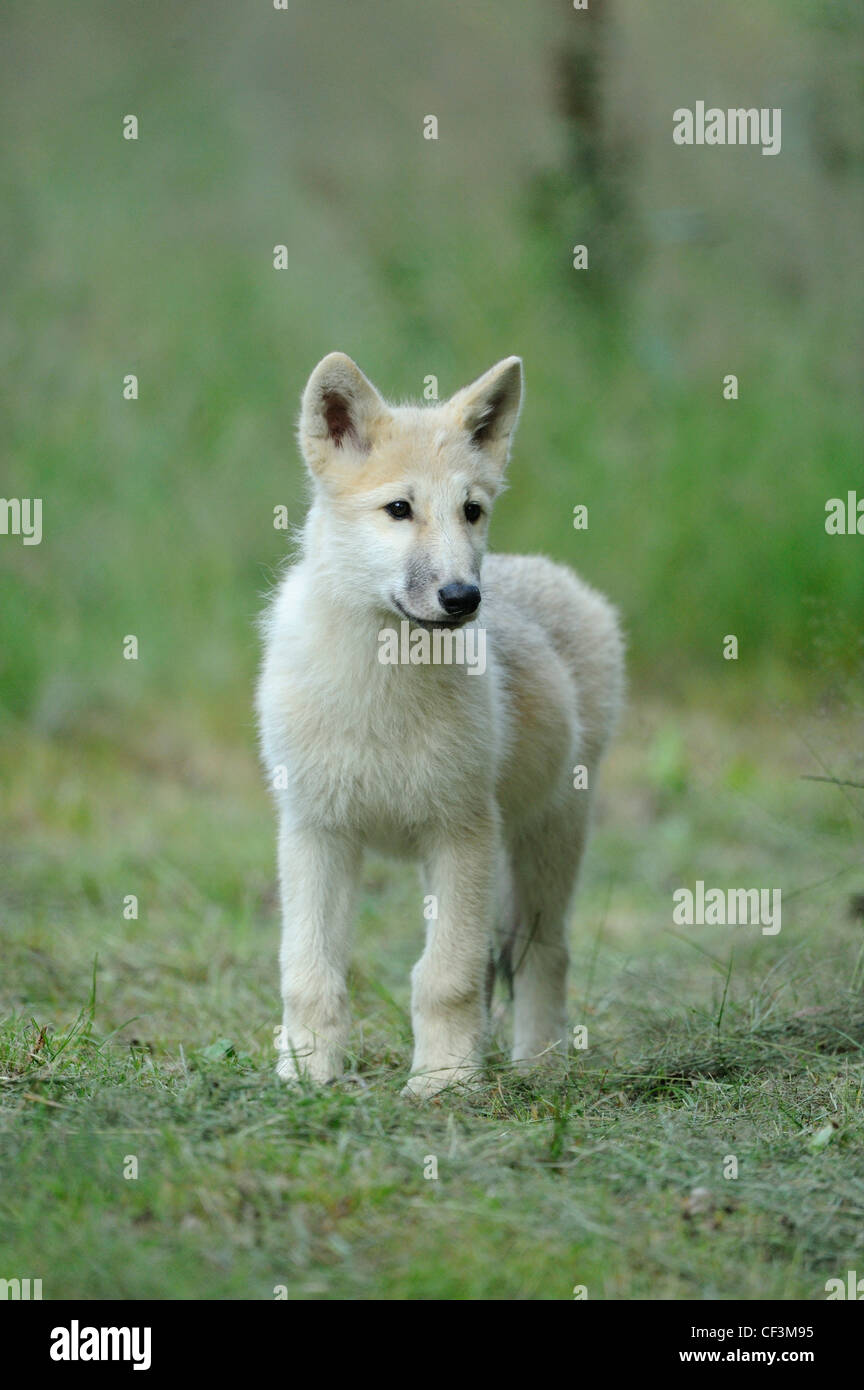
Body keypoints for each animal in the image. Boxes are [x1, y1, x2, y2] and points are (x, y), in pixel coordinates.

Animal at [256, 353, 624, 1098]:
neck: (378, 693)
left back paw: (537, 1067)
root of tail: (548, 573)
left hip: (547, 841)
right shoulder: (316, 833)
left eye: (471, 511)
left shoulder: (461, 831)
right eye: (399, 509)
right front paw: (306, 1076)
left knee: (542, 955)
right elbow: (309, 975)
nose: (463, 597)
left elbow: (443, 978)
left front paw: (444, 1085)